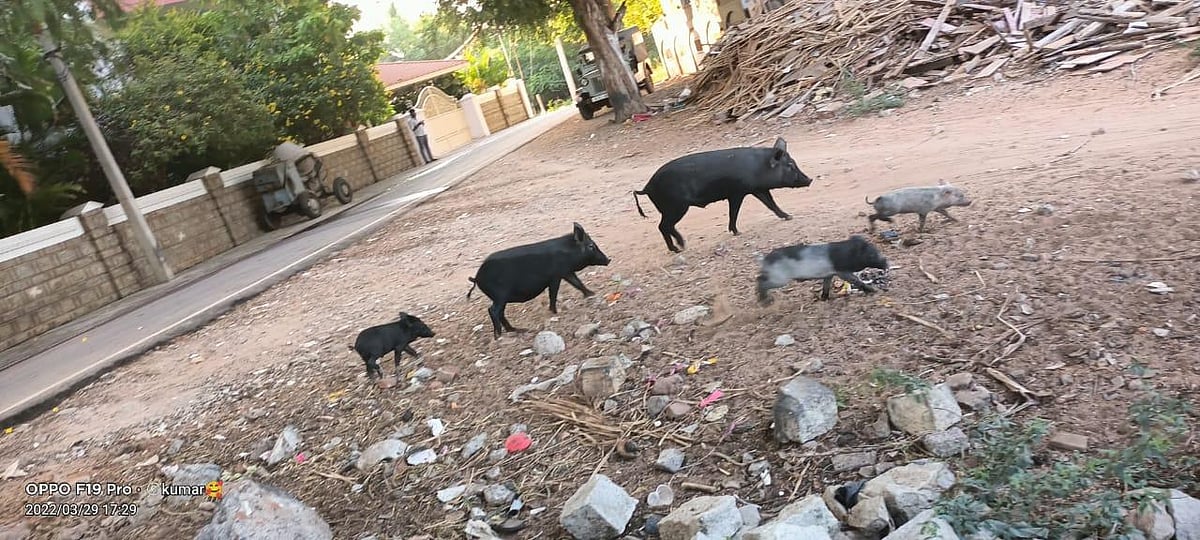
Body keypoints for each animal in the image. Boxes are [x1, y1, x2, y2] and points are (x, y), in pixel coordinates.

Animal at [466, 222, 611, 339]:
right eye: (591, 246)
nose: (608, 259)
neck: (568, 253)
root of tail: (477, 277)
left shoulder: (566, 272)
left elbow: (578, 283)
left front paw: (591, 294)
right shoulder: (556, 276)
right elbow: (554, 294)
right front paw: (555, 312)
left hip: (501, 297)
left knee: (500, 312)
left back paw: (516, 330)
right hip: (500, 295)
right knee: (493, 310)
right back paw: (499, 335)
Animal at [632, 137, 814, 253]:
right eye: (790, 165)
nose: (810, 179)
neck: (759, 167)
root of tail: (646, 187)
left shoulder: (757, 189)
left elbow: (771, 204)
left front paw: (788, 216)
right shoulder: (737, 192)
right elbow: (734, 212)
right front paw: (737, 232)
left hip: (670, 208)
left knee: (663, 226)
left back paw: (677, 248)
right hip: (676, 207)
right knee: (663, 226)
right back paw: (681, 247)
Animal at [756, 235, 890, 305]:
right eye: (871, 255)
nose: (886, 263)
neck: (847, 254)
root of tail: (765, 259)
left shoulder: (829, 274)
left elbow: (826, 285)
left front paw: (824, 298)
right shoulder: (842, 272)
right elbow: (856, 280)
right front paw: (874, 290)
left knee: (760, 278)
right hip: (779, 279)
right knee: (761, 281)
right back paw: (765, 301)